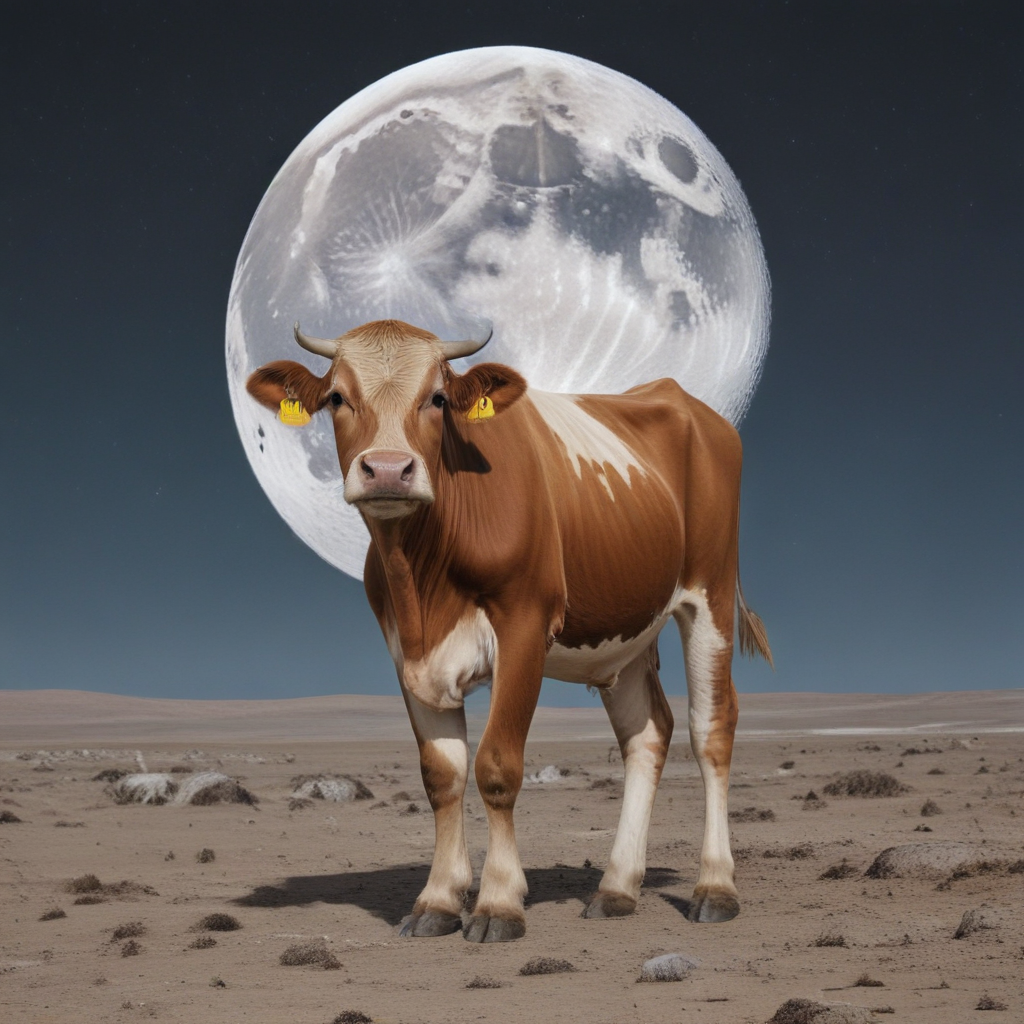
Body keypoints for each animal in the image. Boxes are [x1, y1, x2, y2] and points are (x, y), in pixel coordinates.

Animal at [246, 318, 772, 943]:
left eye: (438, 398)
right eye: (335, 398)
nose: (389, 470)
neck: (422, 579)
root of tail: (683, 398)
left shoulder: (525, 626)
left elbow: (497, 765)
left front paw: (498, 902)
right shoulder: (405, 651)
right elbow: (441, 775)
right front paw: (438, 900)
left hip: (709, 592)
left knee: (711, 728)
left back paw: (715, 887)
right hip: (623, 625)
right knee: (648, 732)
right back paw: (616, 888)